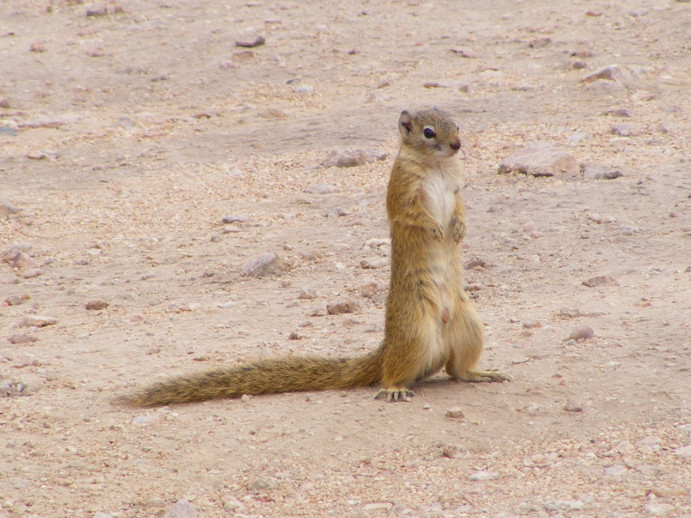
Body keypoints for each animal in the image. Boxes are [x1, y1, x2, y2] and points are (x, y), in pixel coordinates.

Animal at [118, 108, 509, 407]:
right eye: (428, 132)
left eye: (456, 125)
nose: (457, 145)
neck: (436, 168)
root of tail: (387, 347)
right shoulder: (402, 193)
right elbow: (413, 216)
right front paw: (437, 231)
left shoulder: (456, 188)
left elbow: (460, 208)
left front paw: (458, 229)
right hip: (414, 333)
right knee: (394, 373)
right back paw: (395, 388)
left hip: (469, 327)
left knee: (456, 370)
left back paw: (480, 372)